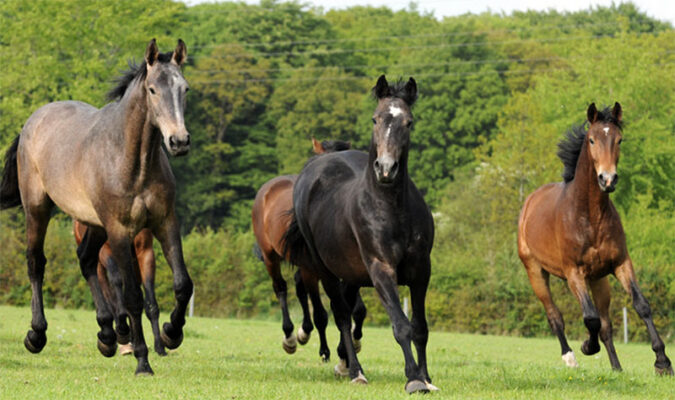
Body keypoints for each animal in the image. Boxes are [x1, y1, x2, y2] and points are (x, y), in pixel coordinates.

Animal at [73, 221, 165, 356]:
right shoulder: (105, 249)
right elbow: (116, 279)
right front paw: (122, 331)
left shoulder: (144, 251)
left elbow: (150, 303)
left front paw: (159, 347)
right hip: (98, 264)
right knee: (108, 293)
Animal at [252, 137, 367, 361]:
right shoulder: (314, 270)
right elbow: (322, 314)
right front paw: (326, 351)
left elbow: (356, 310)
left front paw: (353, 343)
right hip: (271, 257)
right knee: (281, 288)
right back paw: (290, 336)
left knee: (298, 288)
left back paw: (304, 332)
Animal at [284, 75, 436, 393]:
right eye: (375, 118)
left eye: (409, 122)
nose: (386, 169)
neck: (391, 209)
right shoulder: (381, 270)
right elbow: (401, 325)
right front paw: (413, 379)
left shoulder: (421, 271)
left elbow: (420, 328)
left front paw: (427, 377)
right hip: (325, 269)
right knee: (340, 313)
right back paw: (355, 371)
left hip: (351, 273)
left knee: (348, 306)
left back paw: (344, 362)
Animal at [517, 103, 673, 375]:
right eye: (591, 139)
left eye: (619, 140)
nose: (607, 179)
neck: (589, 216)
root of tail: (529, 202)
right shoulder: (573, 273)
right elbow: (590, 318)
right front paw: (587, 347)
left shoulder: (620, 263)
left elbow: (640, 305)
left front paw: (662, 362)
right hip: (535, 271)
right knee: (554, 315)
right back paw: (570, 357)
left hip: (599, 279)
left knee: (607, 325)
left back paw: (617, 368)